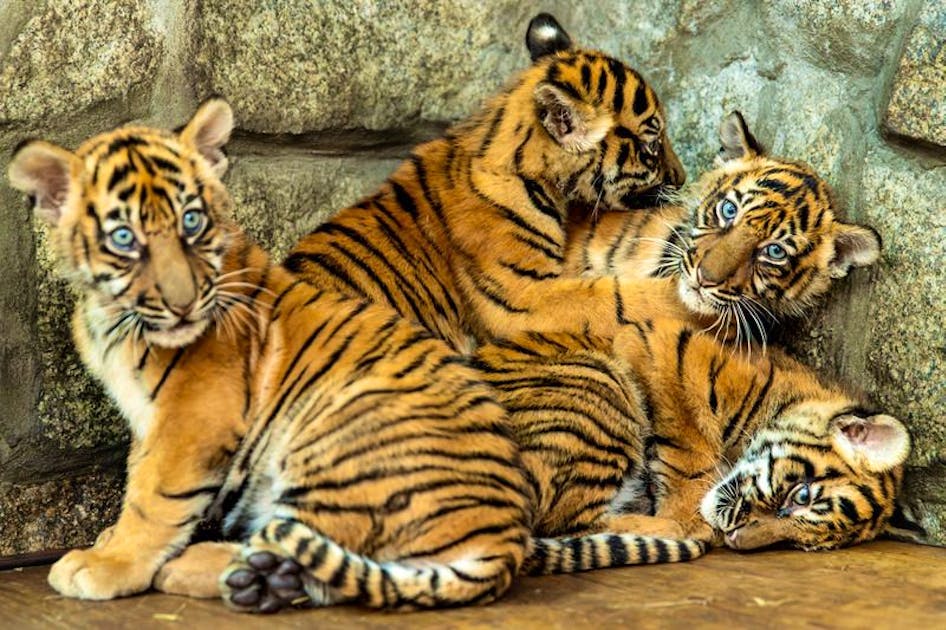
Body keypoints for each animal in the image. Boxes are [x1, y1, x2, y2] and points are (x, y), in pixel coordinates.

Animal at [9, 99, 709, 613]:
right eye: (124, 238)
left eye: (192, 223)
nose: (182, 303)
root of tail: (500, 538)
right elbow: (143, 479)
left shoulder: (193, 417)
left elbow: (155, 494)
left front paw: (109, 563)